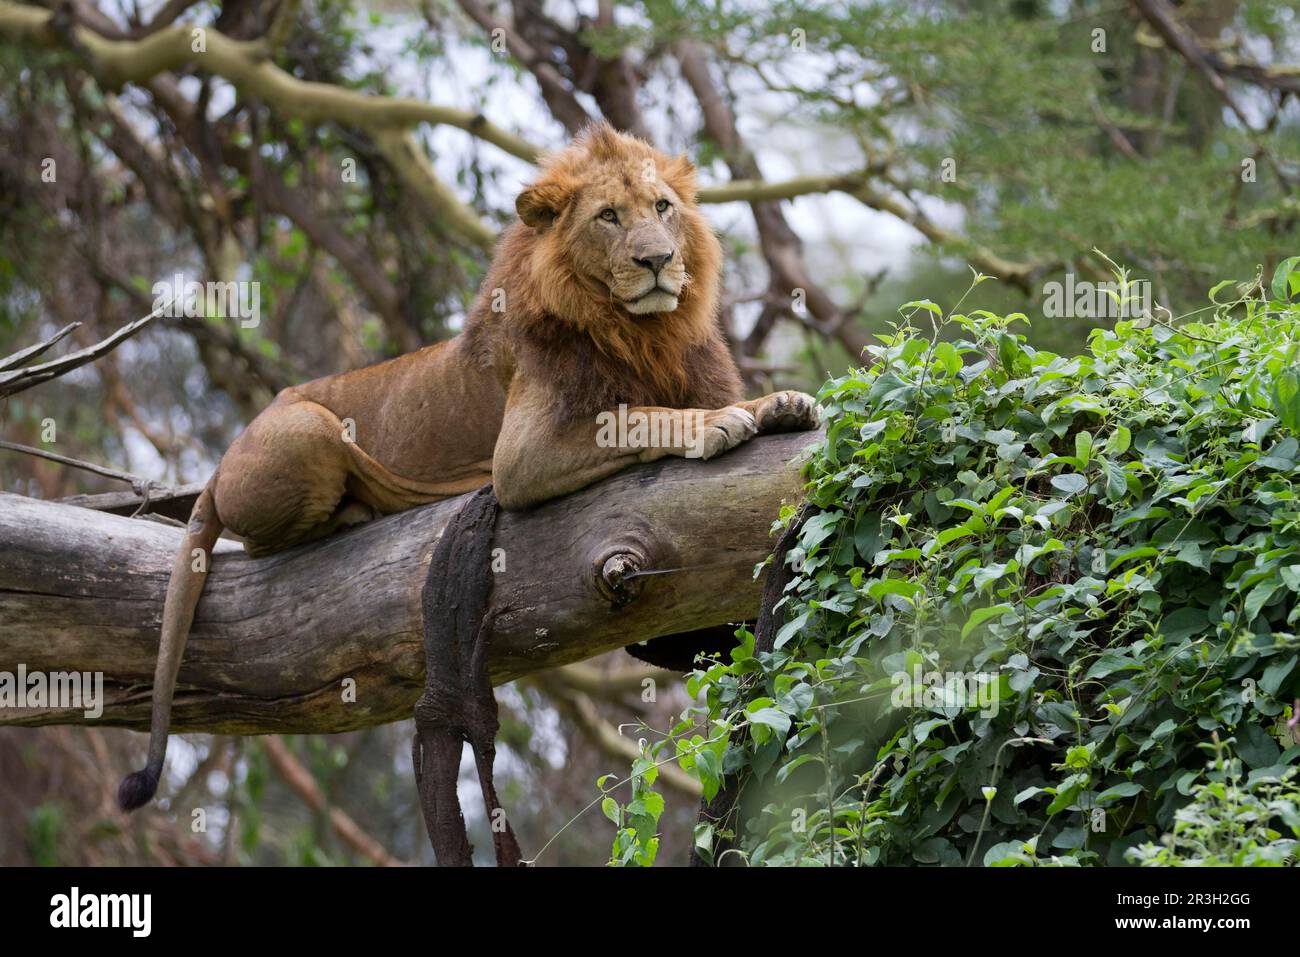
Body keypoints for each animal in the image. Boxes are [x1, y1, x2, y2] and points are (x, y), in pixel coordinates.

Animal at [118, 122, 819, 810]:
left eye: (663, 208)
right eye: (609, 217)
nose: (658, 261)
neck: (647, 333)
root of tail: (217, 470)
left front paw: (778, 403)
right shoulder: (522, 455)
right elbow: (636, 416)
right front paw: (716, 425)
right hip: (310, 425)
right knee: (263, 544)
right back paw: (353, 513)